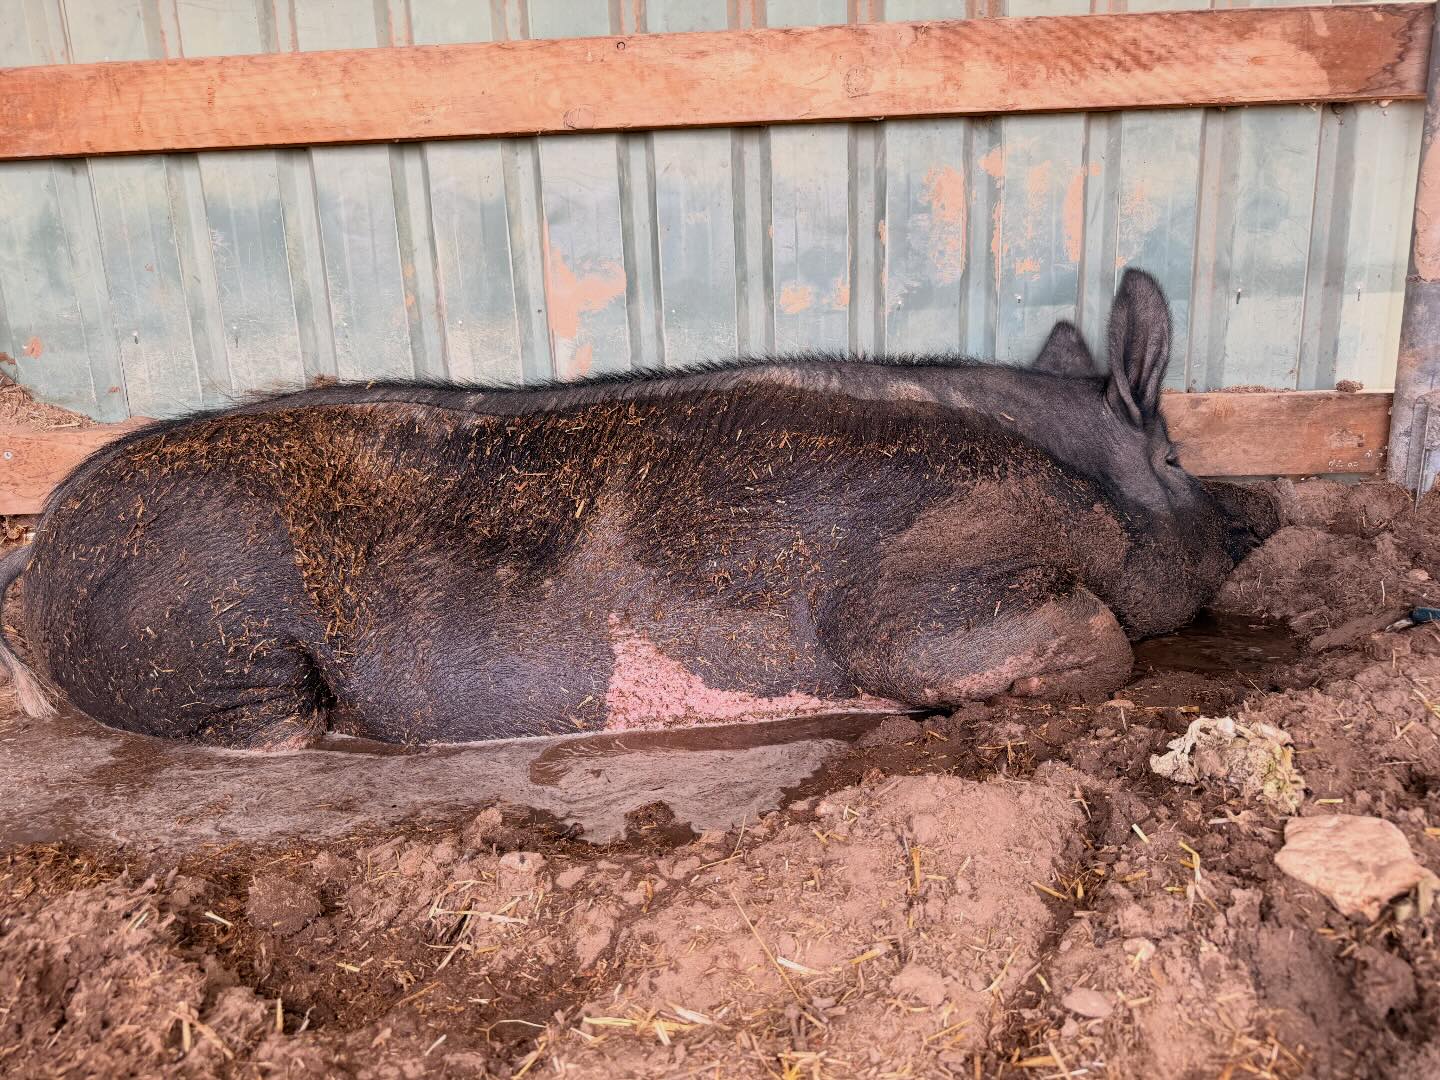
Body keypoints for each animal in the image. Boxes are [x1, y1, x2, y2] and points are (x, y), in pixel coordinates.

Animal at [0, 269, 1277, 748]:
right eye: (1179, 457)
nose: (1261, 501)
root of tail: (39, 549)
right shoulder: (927, 587)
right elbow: (1087, 641)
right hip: (223, 658)